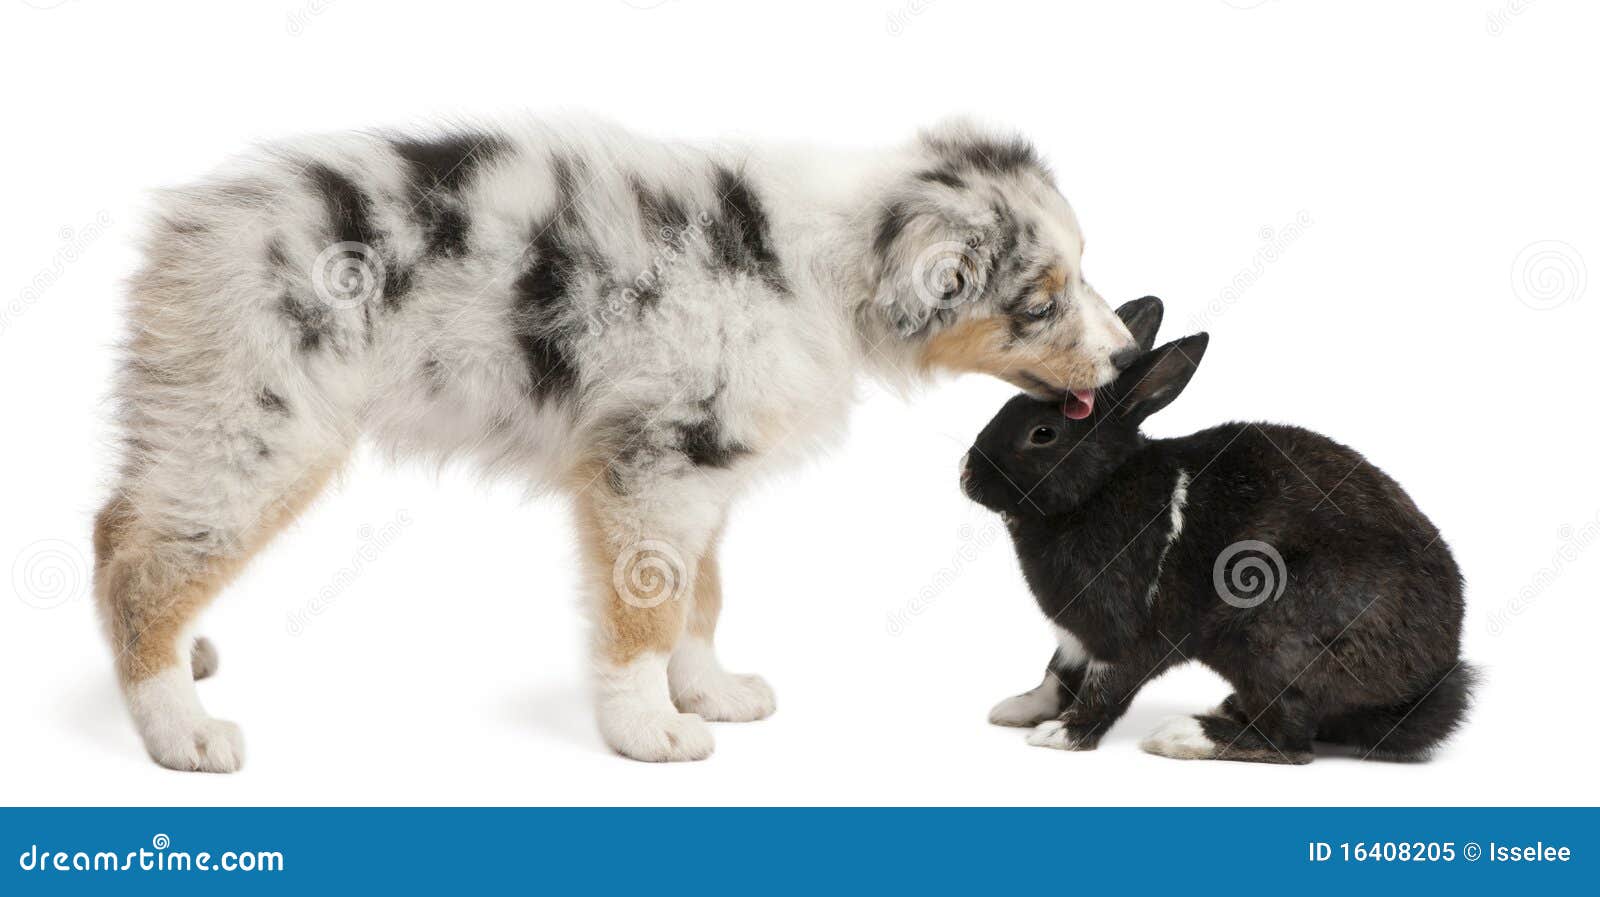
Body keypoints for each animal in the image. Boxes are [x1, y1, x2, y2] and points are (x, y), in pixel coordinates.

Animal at [960, 297, 1475, 764]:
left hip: (1272, 637)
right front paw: (1016, 709)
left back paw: (1181, 735)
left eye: (1043, 433)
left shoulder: (1125, 633)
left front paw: (1060, 735)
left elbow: (1105, 688)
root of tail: (1425, 683)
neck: (1103, 486)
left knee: (1291, 741)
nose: (966, 473)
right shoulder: (1075, 636)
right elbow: (1056, 673)